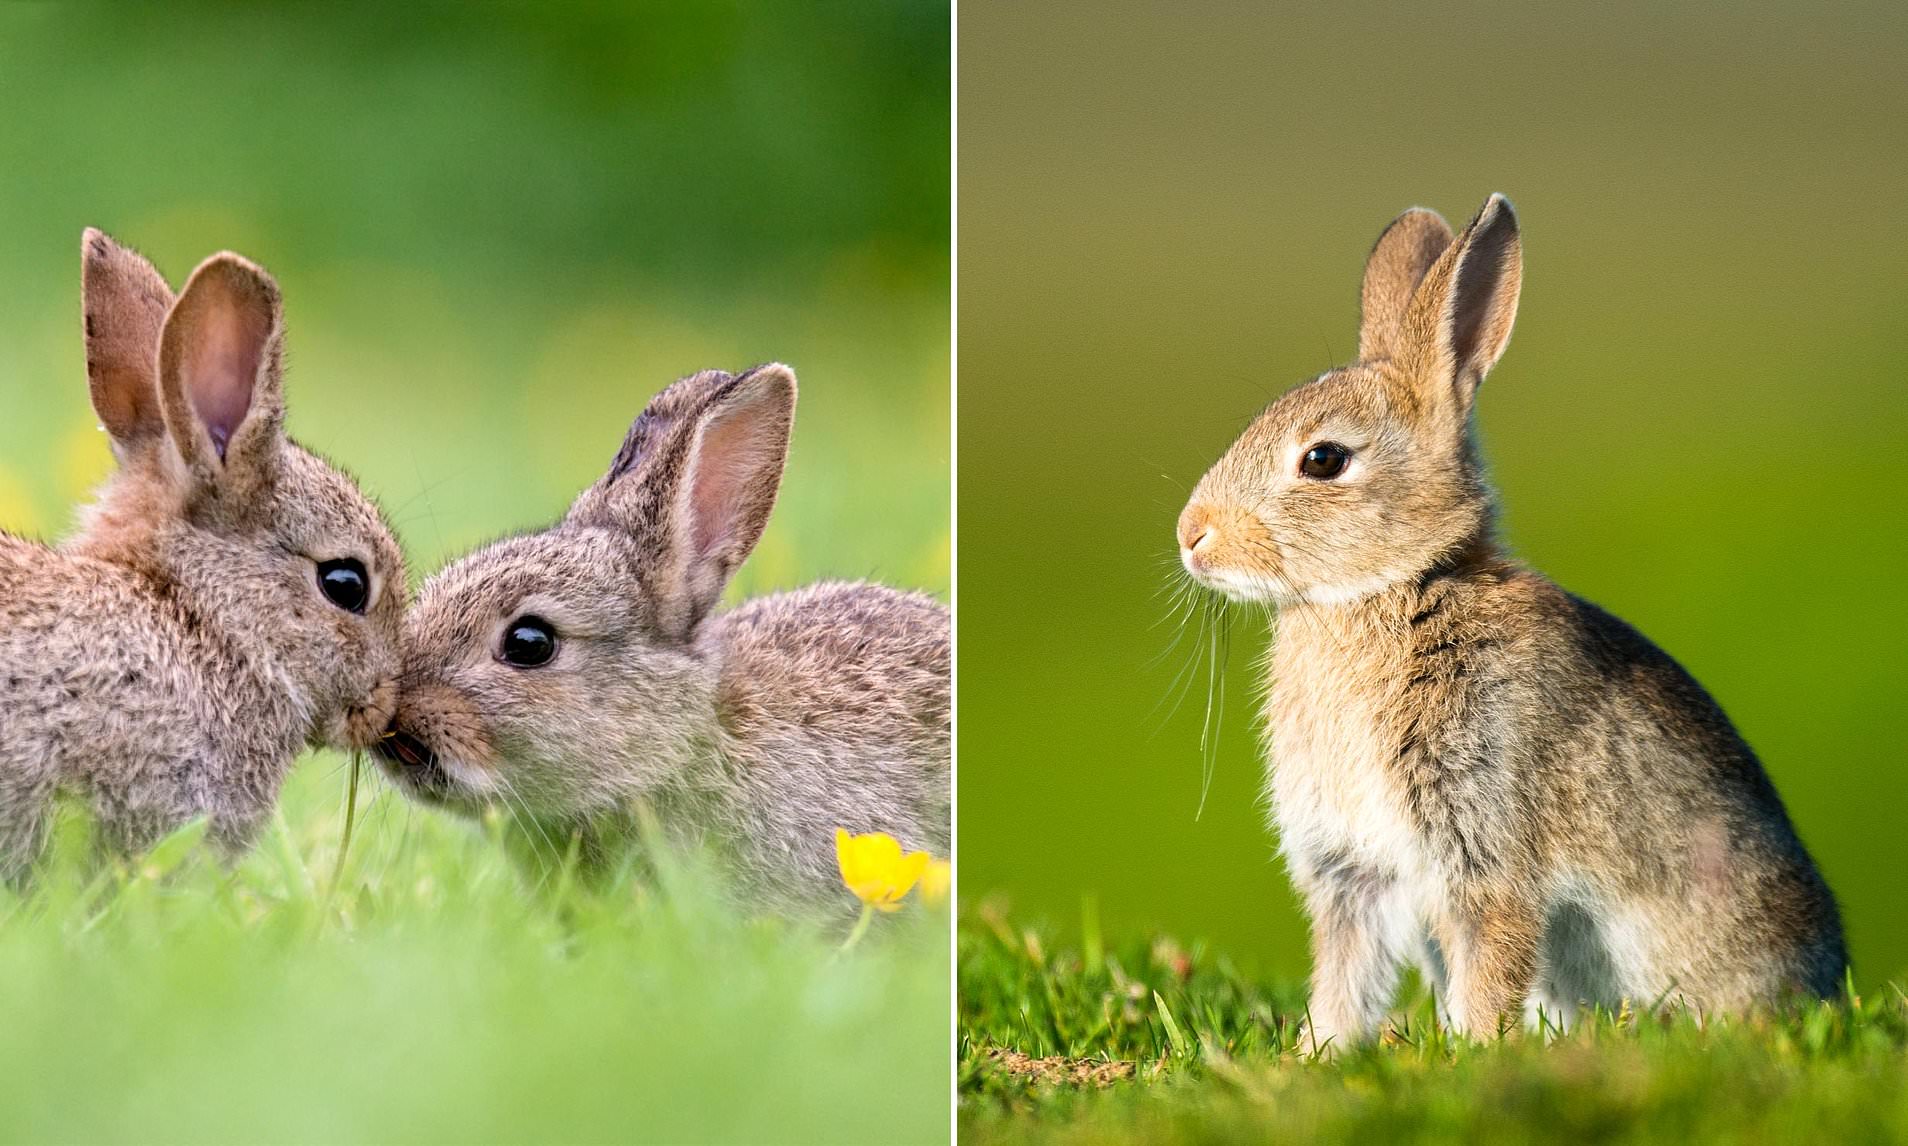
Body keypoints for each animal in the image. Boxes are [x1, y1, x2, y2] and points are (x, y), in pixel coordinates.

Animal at [1175, 194, 1844, 1048]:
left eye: (1323, 460)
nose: (1192, 535)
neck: (1396, 589)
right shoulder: (1353, 870)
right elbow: (1345, 976)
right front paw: (1321, 1053)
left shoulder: (1484, 839)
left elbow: (1489, 958)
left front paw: (1473, 1048)